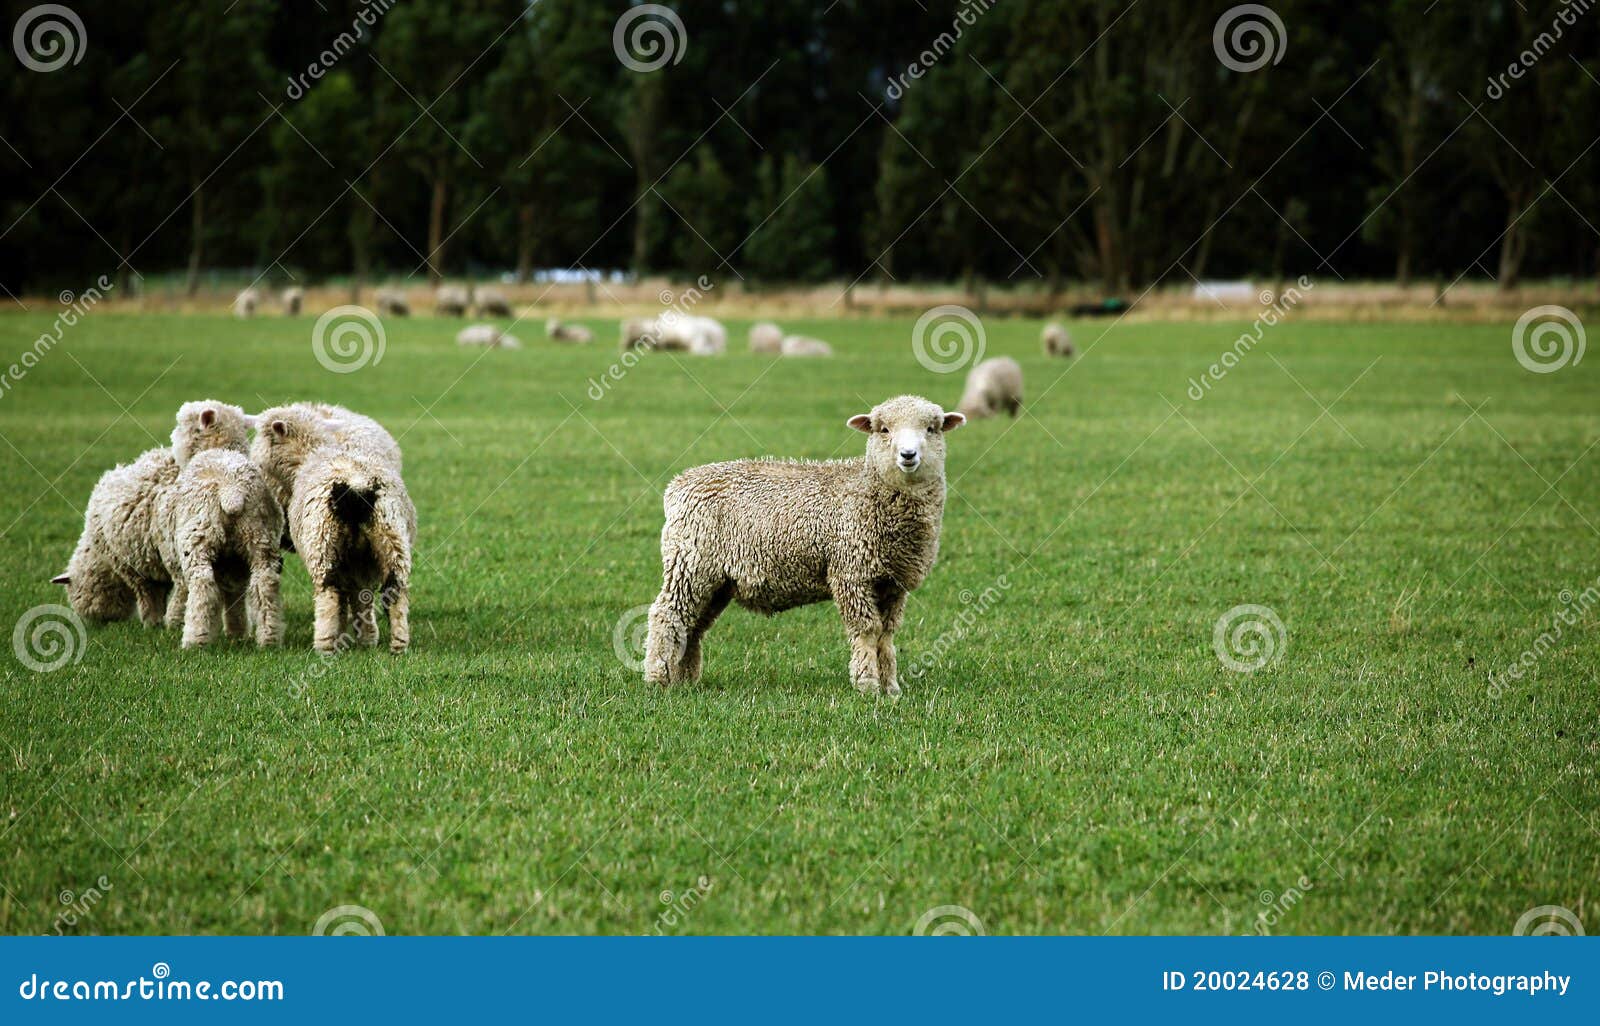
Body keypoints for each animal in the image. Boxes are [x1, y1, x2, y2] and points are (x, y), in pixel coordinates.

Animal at [251, 405, 417, 653]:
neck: (310, 453)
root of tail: (357, 487)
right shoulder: (359, 564)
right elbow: (361, 598)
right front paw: (366, 639)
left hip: (324, 545)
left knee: (328, 596)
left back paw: (325, 644)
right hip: (392, 542)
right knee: (396, 594)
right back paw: (398, 645)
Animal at [643, 394, 966, 697]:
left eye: (932, 428)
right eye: (883, 429)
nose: (908, 455)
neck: (868, 490)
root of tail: (678, 484)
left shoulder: (892, 583)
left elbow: (886, 634)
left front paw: (890, 687)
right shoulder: (851, 573)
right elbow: (867, 630)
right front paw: (867, 685)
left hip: (715, 579)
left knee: (693, 625)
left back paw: (685, 679)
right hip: (691, 563)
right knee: (667, 615)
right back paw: (658, 678)